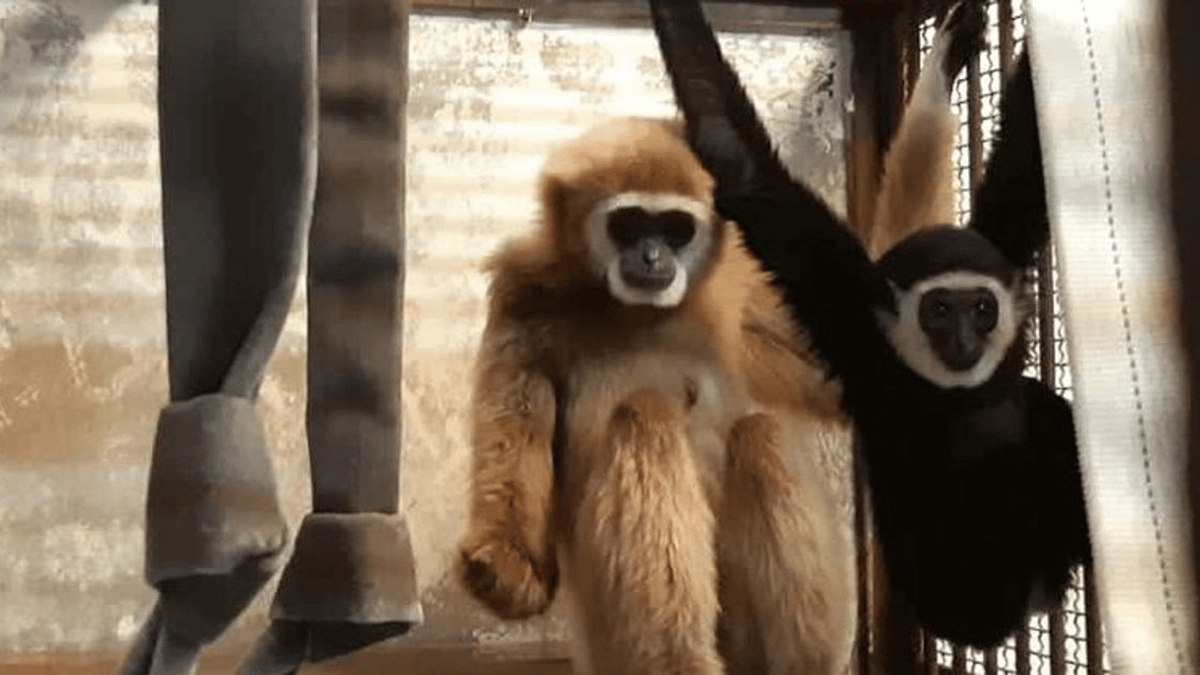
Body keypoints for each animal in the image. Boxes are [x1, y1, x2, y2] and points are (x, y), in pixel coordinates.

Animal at [458, 116, 857, 675]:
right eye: (628, 224)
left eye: (675, 228)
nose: (652, 255)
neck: (638, 311)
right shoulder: (524, 295)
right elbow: (516, 423)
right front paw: (507, 565)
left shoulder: (742, 280)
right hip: (603, 636)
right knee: (642, 417)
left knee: (761, 430)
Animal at [649, 0, 1091, 649]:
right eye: (939, 310)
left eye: (982, 308)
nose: (964, 336)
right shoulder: (852, 321)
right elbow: (741, 164)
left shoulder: (998, 256)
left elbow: (1025, 162)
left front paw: (949, 57)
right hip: (970, 597)